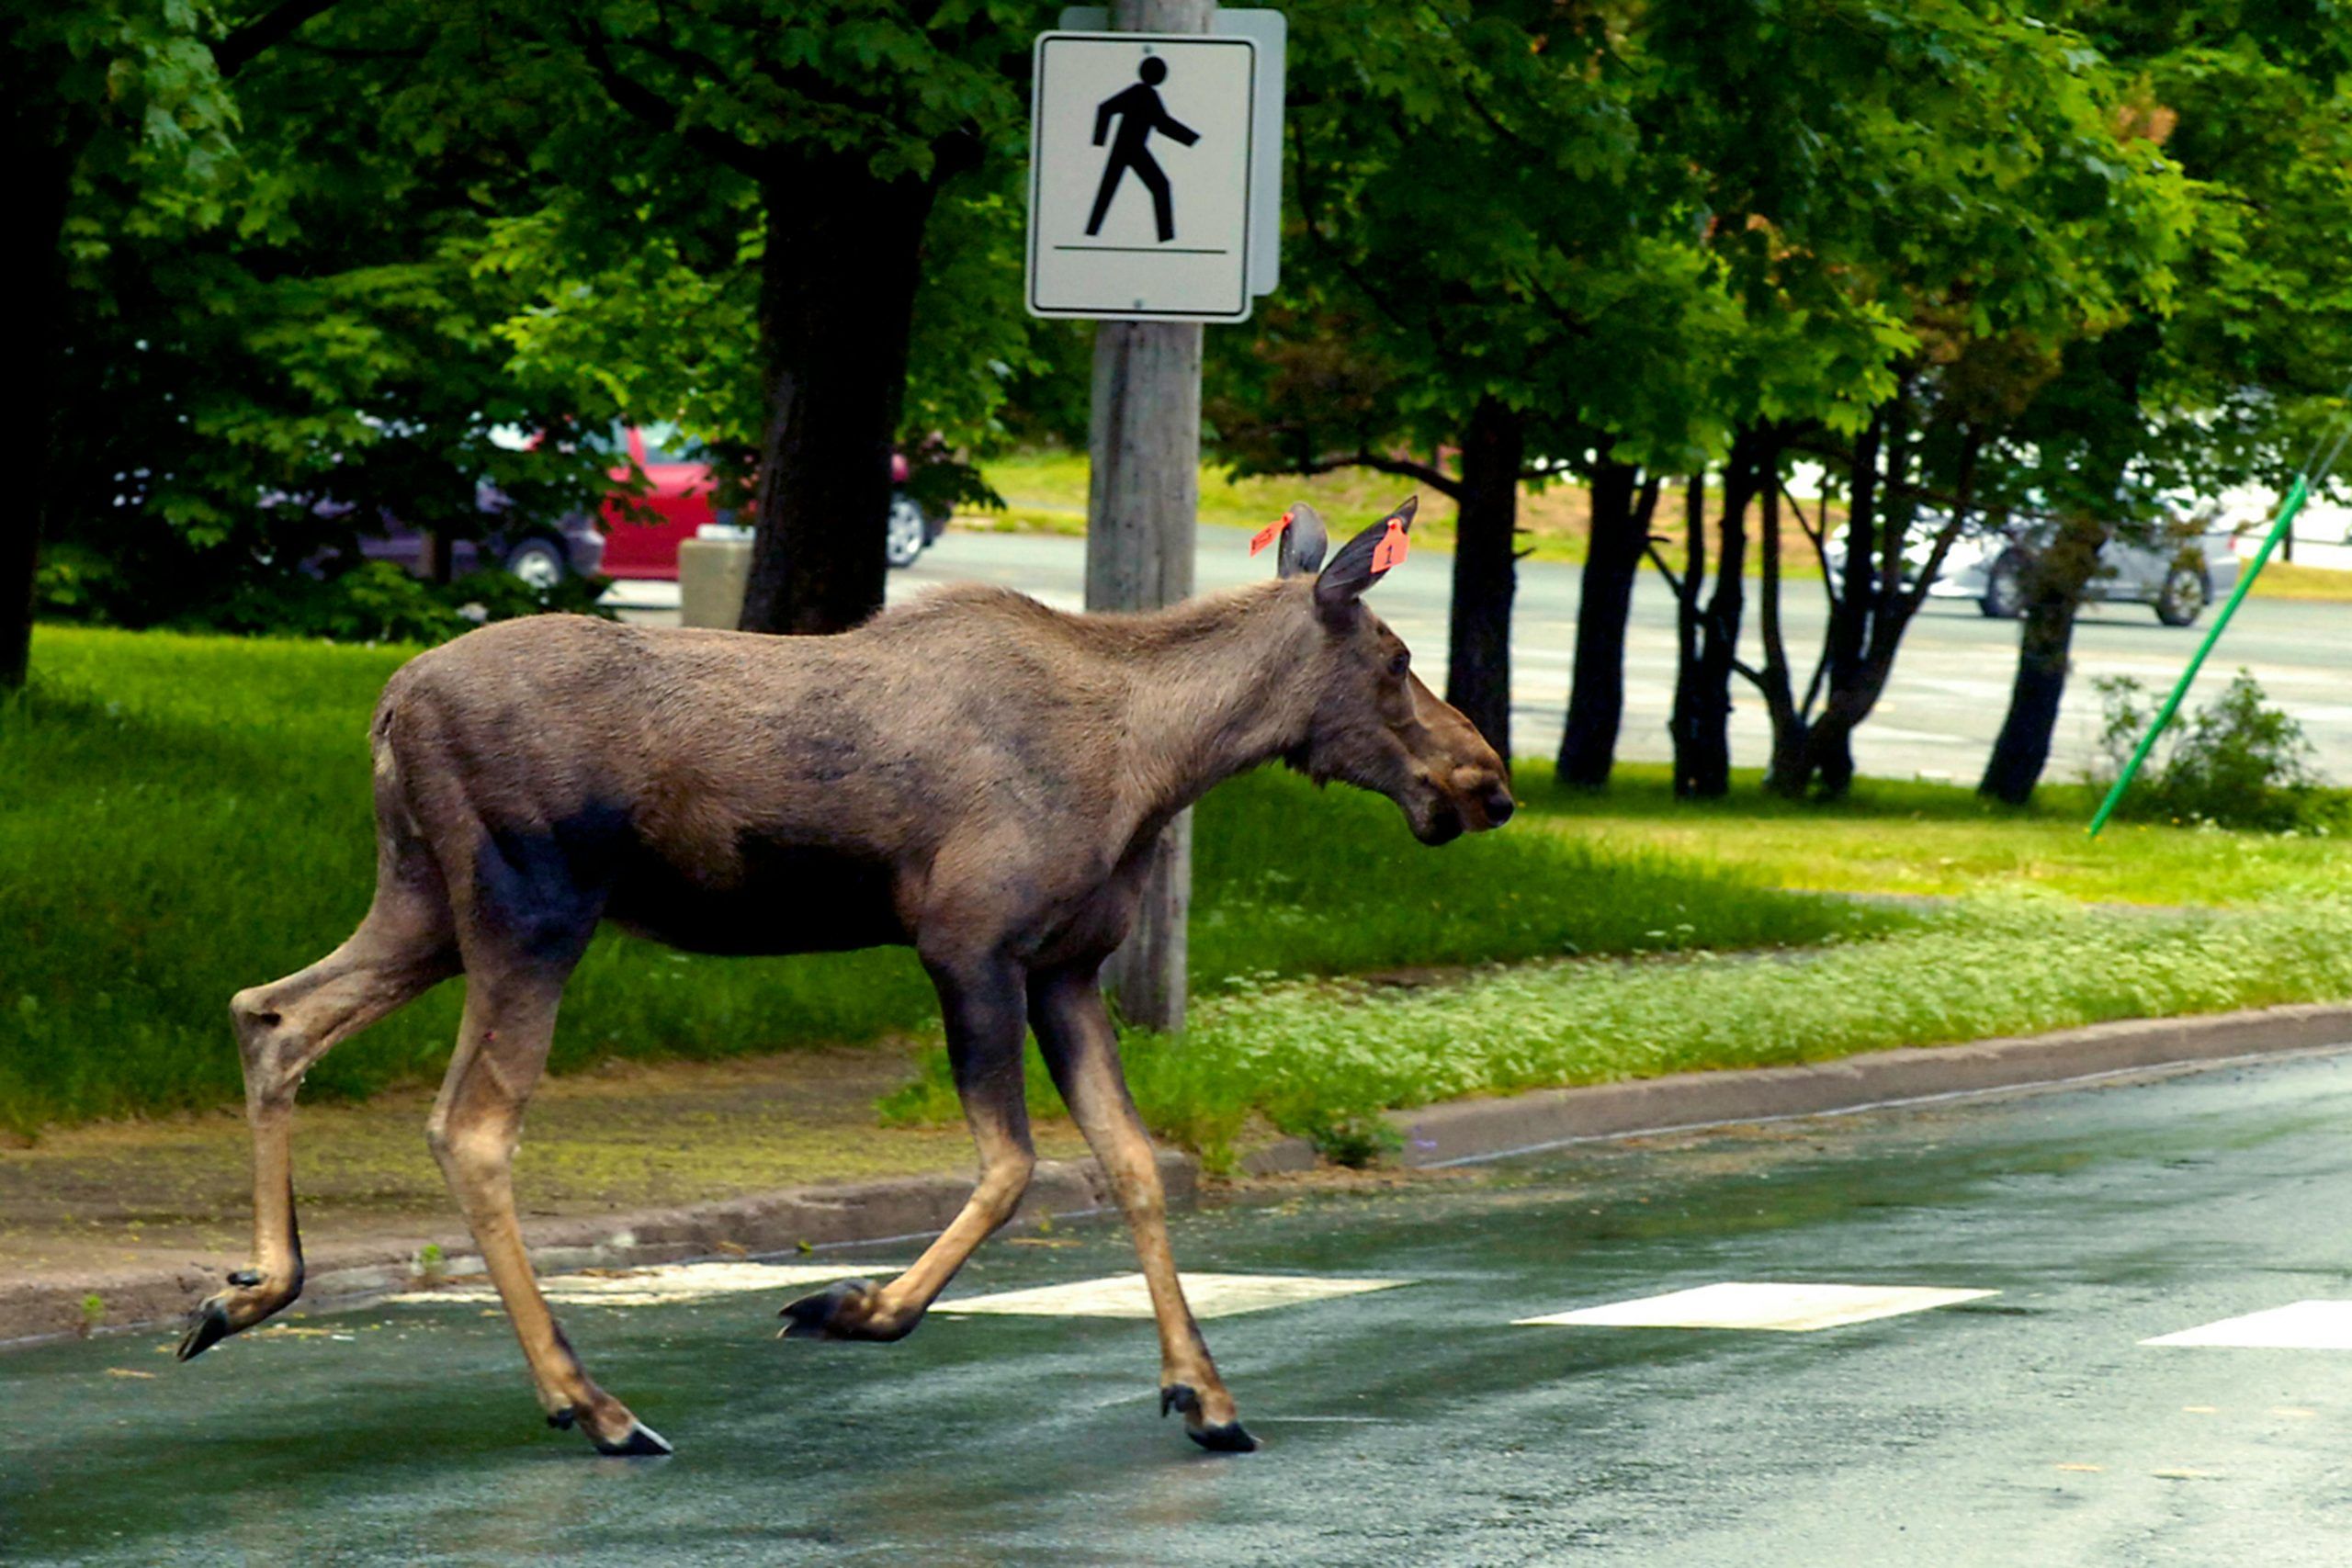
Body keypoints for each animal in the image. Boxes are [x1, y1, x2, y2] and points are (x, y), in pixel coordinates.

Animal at [174, 496, 1514, 1456]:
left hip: (423, 903)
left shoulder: (1067, 968)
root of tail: (388, 705)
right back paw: (590, 1402)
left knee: (271, 1011)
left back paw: (249, 1290)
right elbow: (1015, 1163)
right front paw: (854, 1307)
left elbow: (1133, 1164)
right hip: (530, 905)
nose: (1489, 782)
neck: (1160, 760)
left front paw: (1204, 1392)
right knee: (471, 1124)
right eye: (1395, 657)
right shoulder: (969, 943)